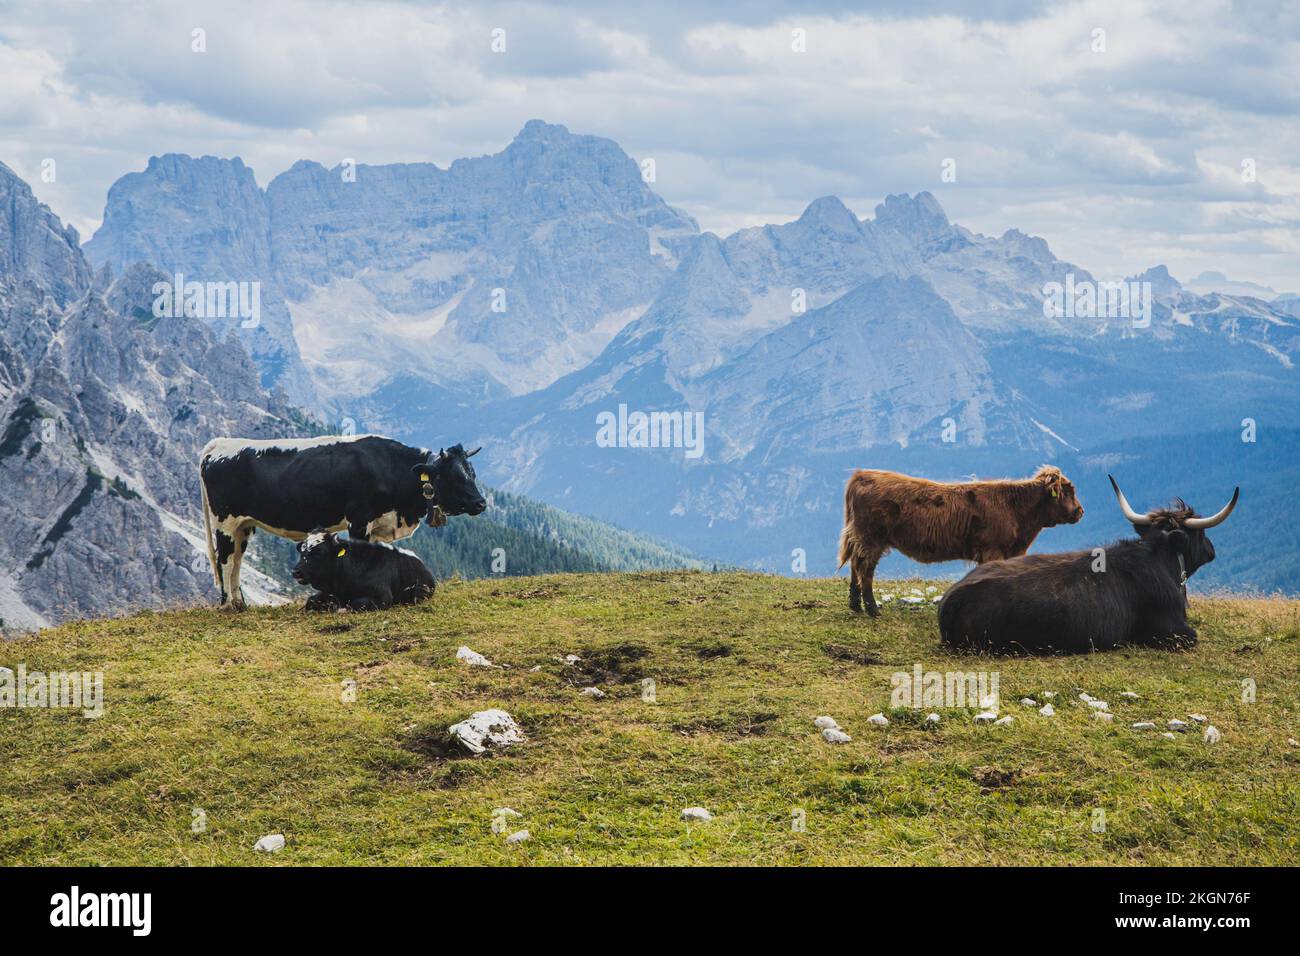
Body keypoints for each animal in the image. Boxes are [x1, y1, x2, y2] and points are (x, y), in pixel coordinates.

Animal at [292, 531, 436, 611]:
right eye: (301, 552)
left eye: (319, 553)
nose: (296, 572)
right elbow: (311, 601)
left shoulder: (383, 597)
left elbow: (355, 603)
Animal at [838, 465, 1084, 616]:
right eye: (1069, 490)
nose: (1080, 511)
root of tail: (863, 474)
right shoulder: (992, 550)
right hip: (872, 539)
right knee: (865, 570)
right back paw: (872, 609)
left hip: (862, 538)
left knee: (855, 565)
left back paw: (855, 605)